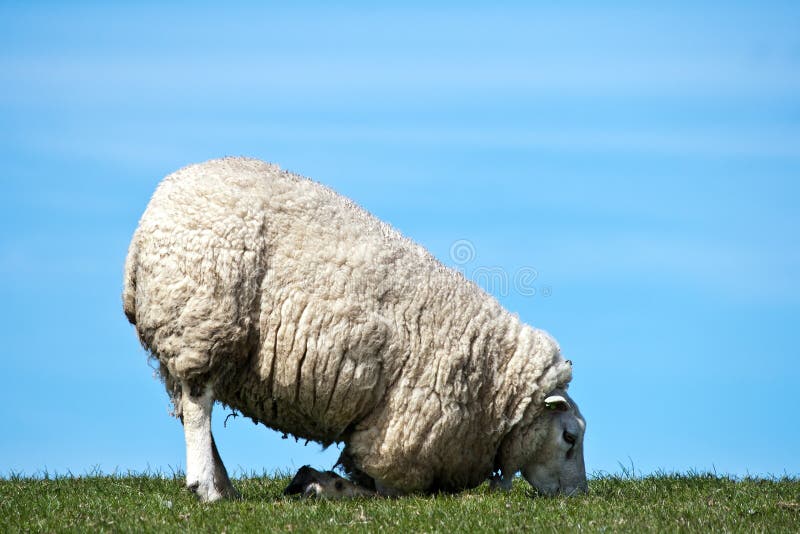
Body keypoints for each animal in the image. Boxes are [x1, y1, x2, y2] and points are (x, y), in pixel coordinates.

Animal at [123, 157, 587, 502]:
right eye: (569, 437)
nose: (578, 496)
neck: (492, 382)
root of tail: (154, 209)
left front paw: (311, 481)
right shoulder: (399, 445)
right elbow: (376, 490)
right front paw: (319, 484)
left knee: (190, 407)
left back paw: (226, 485)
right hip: (202, 318)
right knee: (198, 405)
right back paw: (208, 487)